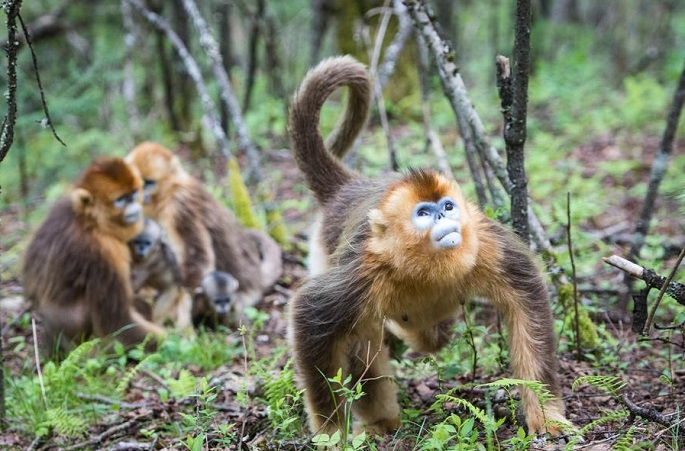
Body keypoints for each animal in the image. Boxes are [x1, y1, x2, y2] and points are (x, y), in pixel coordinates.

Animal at [22, 157, 165, 358]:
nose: (134, 205)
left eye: (133, 193)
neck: (90, 222)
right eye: (120, 200)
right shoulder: (104, 251)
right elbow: (117, 321)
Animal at [125, 142, 283, 321]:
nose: (139, 193)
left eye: (148, 183)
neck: (165, 193)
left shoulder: (180, 203)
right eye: (135, 185)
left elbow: (198, 258)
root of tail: (256, 276)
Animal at [287, 56, 569, 437]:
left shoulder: (485, 244)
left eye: (447, 206)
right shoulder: (364, 270)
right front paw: (331, 436)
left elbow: (528, 301)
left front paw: (548, 417)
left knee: (428, 335)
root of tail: (349, 189)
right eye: (423, 213)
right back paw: (381, 418)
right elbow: (310, 316)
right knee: (364, 336)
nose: (442, 218)